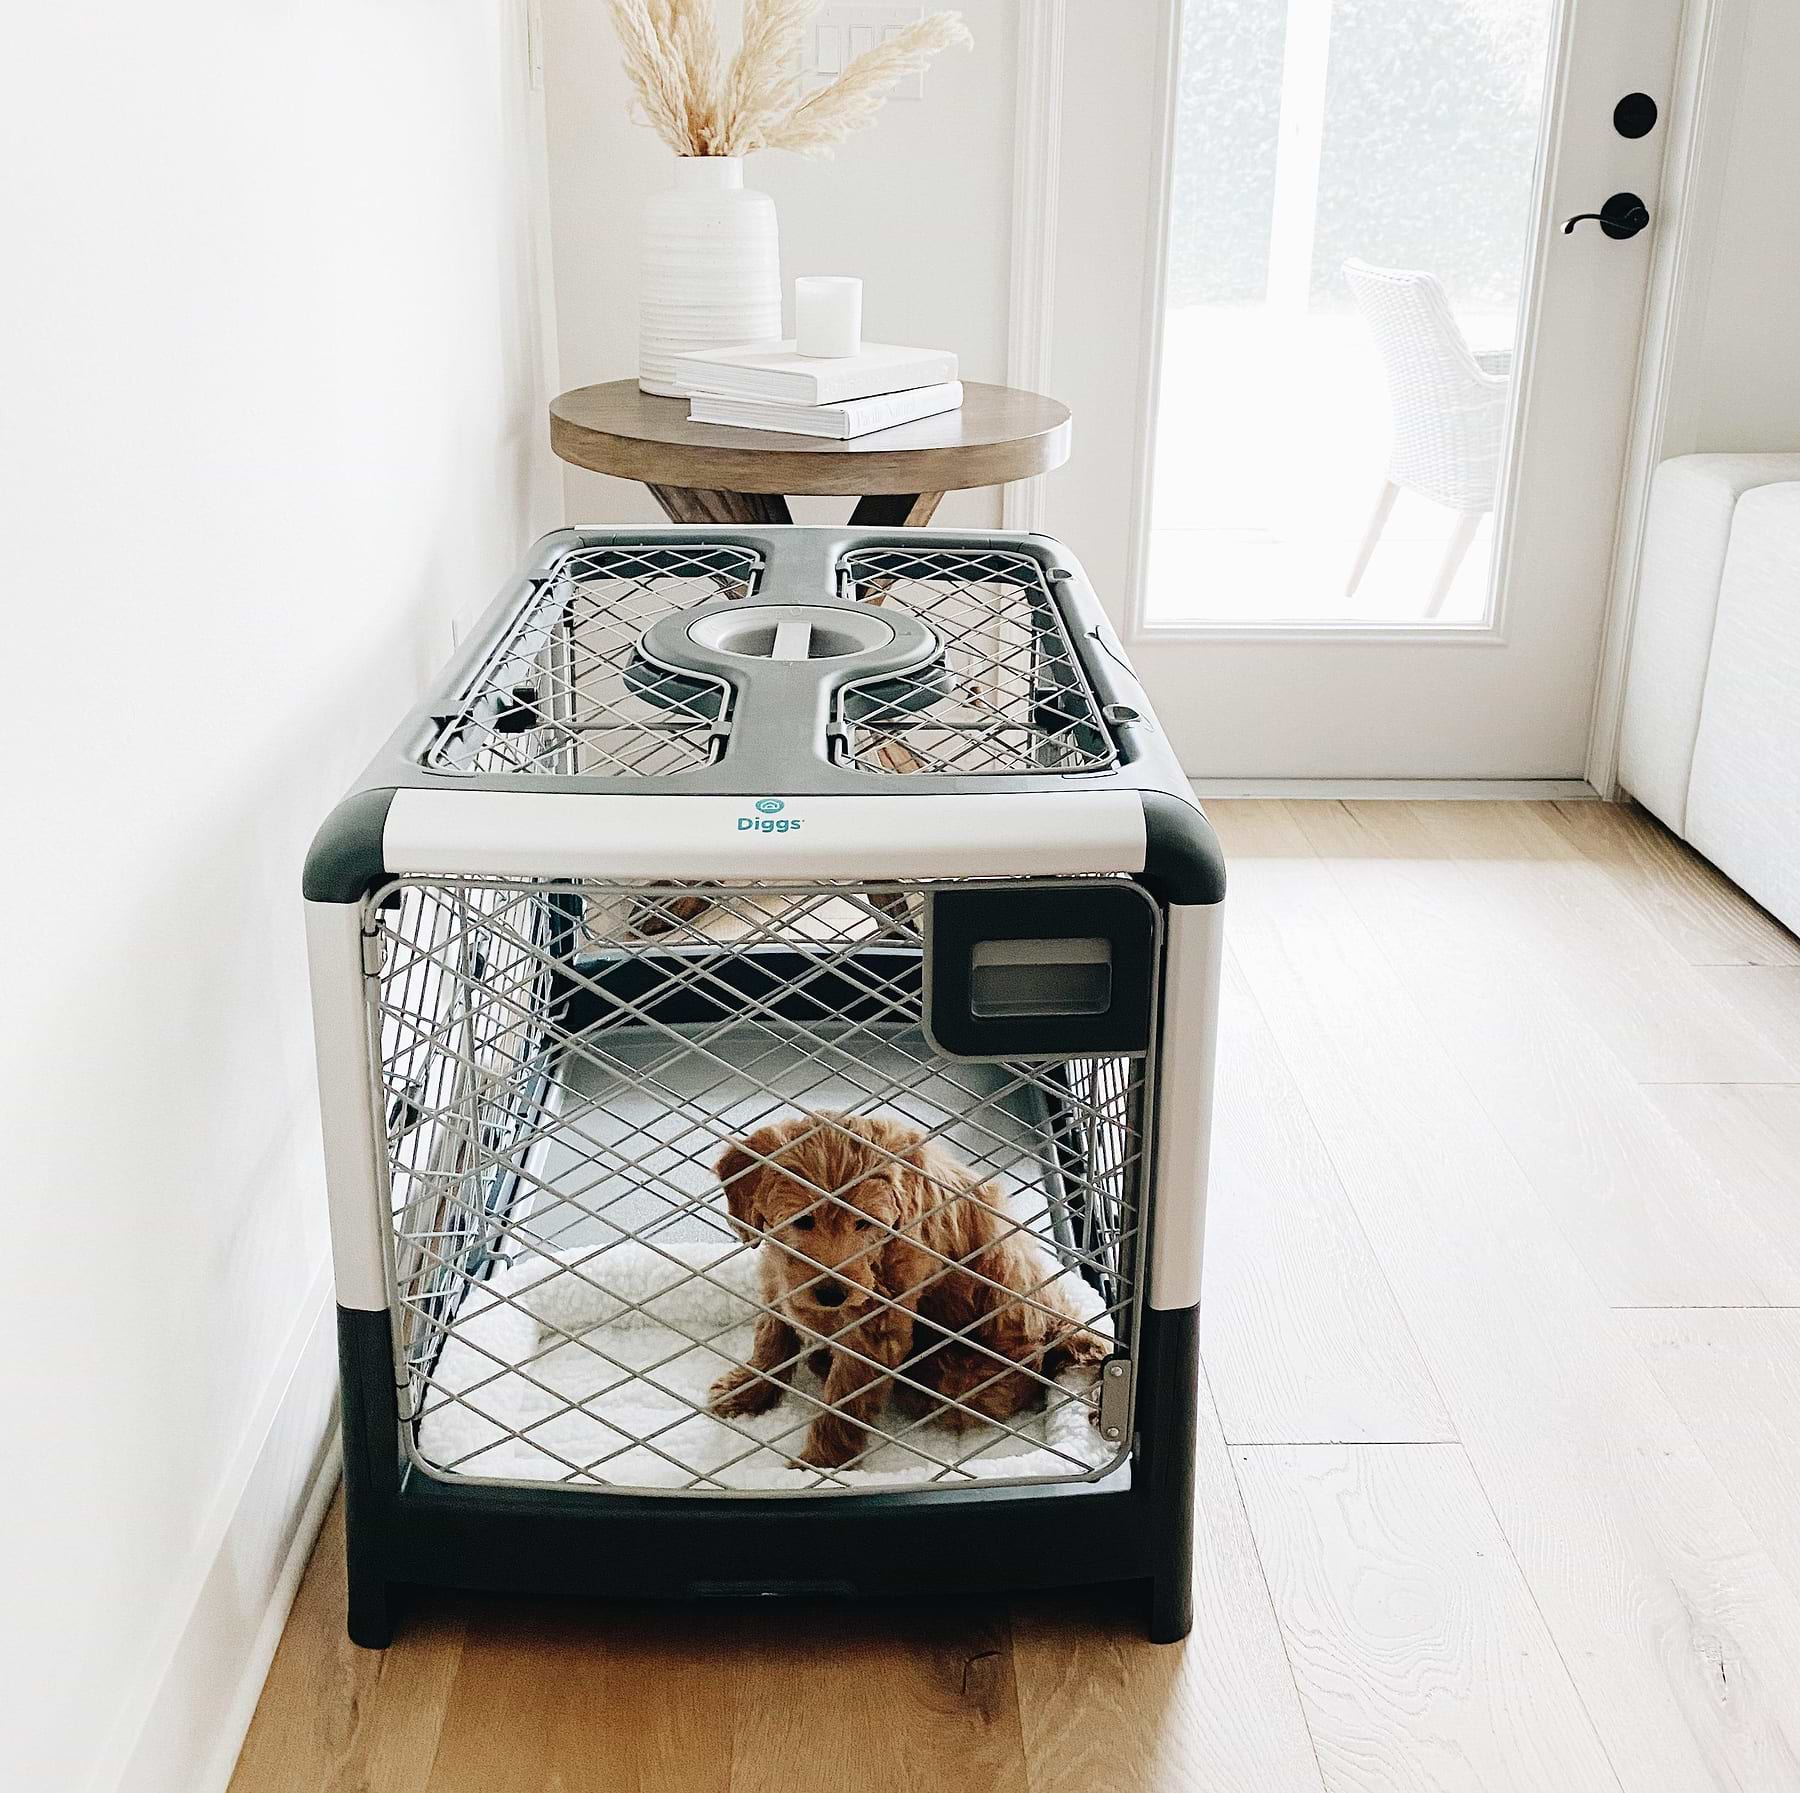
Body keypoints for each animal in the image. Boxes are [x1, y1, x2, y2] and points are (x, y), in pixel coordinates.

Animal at [705, 1108, 1108, 1468]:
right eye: (803, 1220)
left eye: (864, 1223)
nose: (833, 1294)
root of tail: (1057, 1329)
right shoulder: (778, 1277)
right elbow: (771, 1336)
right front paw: (747, 1390)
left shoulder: (877, 1323)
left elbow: (845, 1397)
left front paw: (820, 1462)